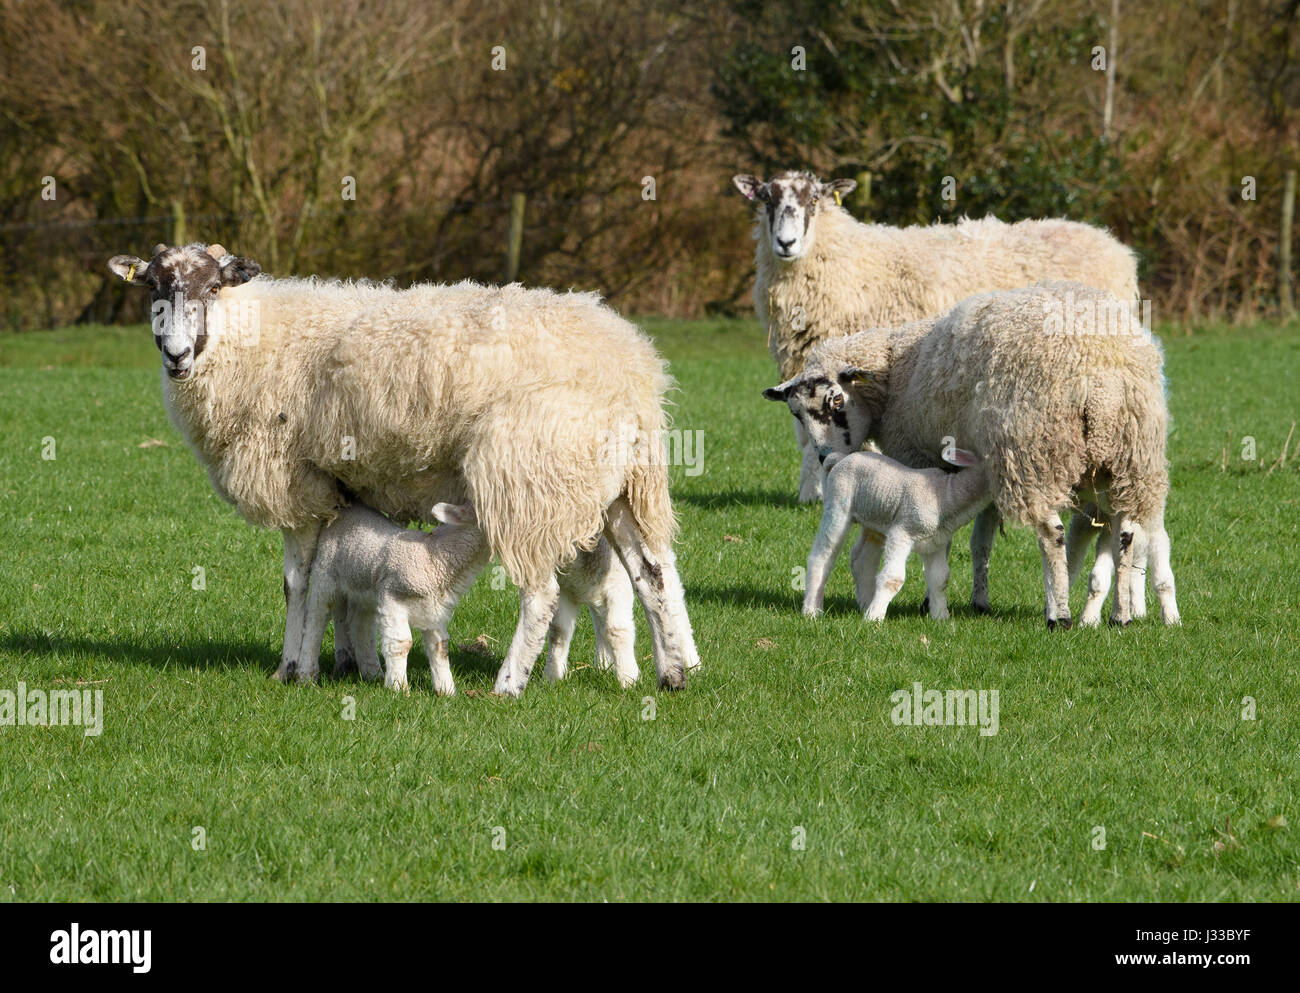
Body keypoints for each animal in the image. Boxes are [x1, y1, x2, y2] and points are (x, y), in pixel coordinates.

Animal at [107, 242, 698, 696]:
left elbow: (297, 584)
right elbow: (344, 590)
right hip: (617, 482)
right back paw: (673, 673)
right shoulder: (342, 488)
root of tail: (633, 366)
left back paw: (508, 684)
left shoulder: (296, 483)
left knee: (540, 592)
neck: (247, 338)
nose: (175, 354)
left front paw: (292, 668)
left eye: (212, 288)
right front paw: (348, 661)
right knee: (653, 573)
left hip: (529, 473)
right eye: (153, 287)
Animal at [733, 170, 1140, 506]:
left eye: (814, 200)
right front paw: (810, 493)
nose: (786, 243)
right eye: (766, 199)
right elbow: (807, 436)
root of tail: (1108, 241)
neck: (848, 261)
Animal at [803, 449, 992, 622]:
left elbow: (940, 579)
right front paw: (874, 619)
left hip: (875, 519)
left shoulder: (935, 543)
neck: (946, 495)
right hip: (837, 505)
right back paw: (812, 610)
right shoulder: (902, 532)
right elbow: (893, 578)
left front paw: (941, 617)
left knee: (861, 560)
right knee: (821, 557)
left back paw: (866, 604)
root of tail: (840, 458)